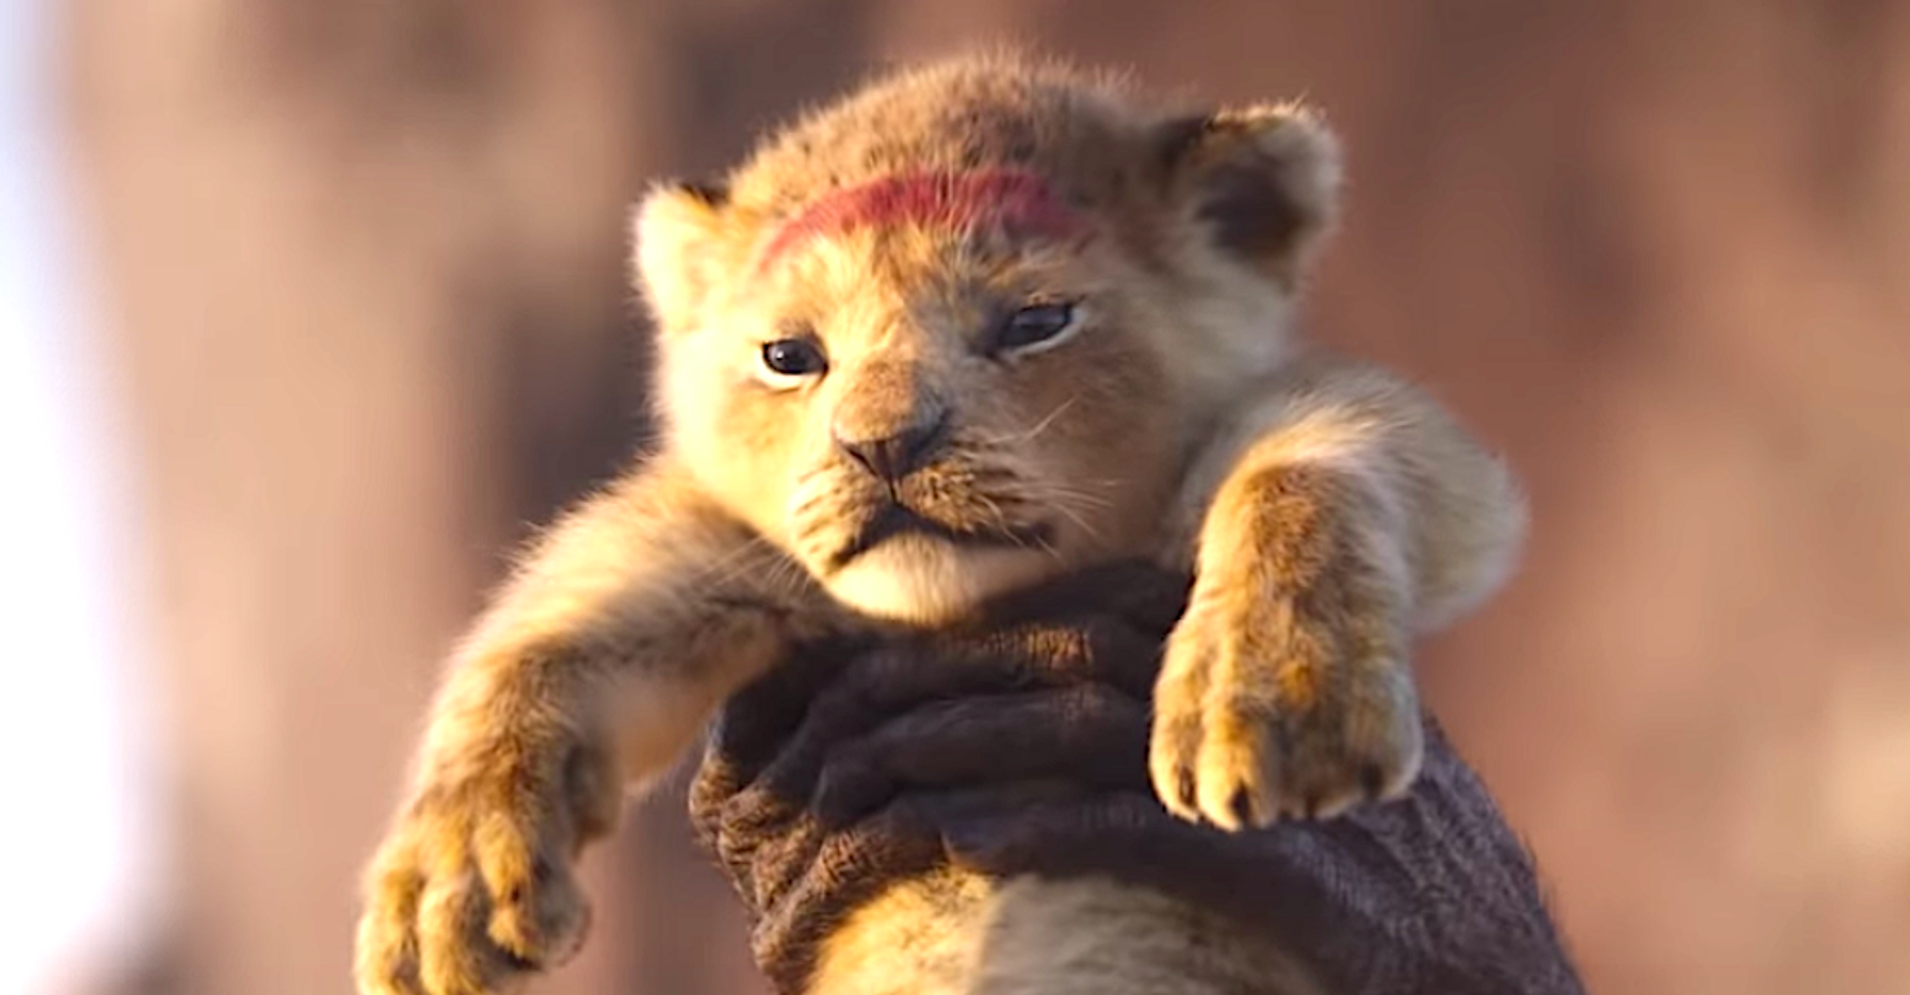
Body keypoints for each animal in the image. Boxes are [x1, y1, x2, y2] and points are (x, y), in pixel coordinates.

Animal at [353, 51, 1527, 995]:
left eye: (1036, 320)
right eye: (790, 354)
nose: (881, 446)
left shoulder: (1387, 443)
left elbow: (1312, 461)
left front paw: (1273, 698)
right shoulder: (723, 551)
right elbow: (544, 634)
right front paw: (443, 894)